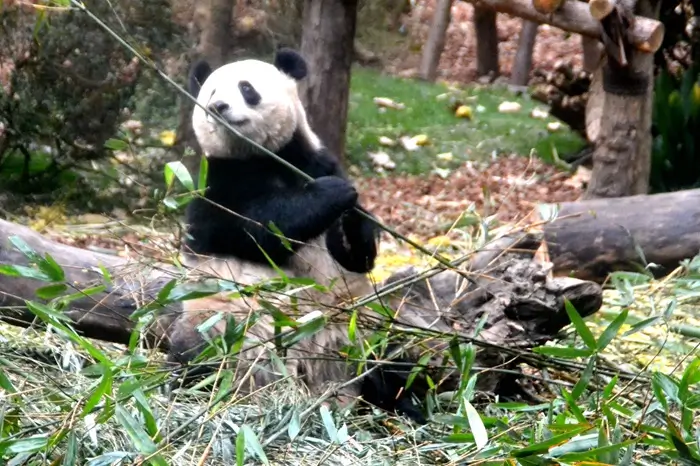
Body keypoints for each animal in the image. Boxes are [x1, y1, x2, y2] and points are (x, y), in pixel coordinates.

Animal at [165, 48, 427, 423]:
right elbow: (256, 231)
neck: (262, 157)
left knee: (394, 361)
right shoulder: (215, 187)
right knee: (195, 359)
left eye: (246, 88)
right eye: (211, 92)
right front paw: (333, 195)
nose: (219, 107)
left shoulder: (312, 160)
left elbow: (358, 257)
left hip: (363, 326)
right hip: (219, 324)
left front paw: (351, 221)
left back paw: (407, 407)